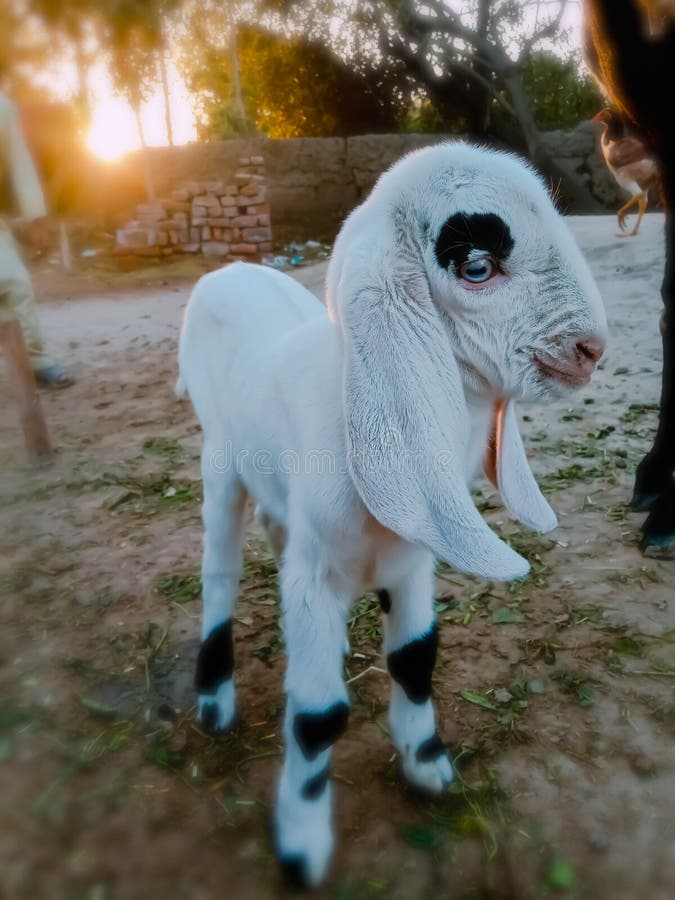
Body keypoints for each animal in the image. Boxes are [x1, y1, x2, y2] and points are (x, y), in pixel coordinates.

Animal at [177, 142, 608, 887]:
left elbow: (414, 660)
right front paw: (301, 842)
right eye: (476, 266)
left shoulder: (411, 562)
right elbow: (317, 716)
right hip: (218, 462)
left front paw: (426, 764)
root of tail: (226, 271)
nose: (591, 350)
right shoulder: (320, 572)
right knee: (219, 575)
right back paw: (215, 697)